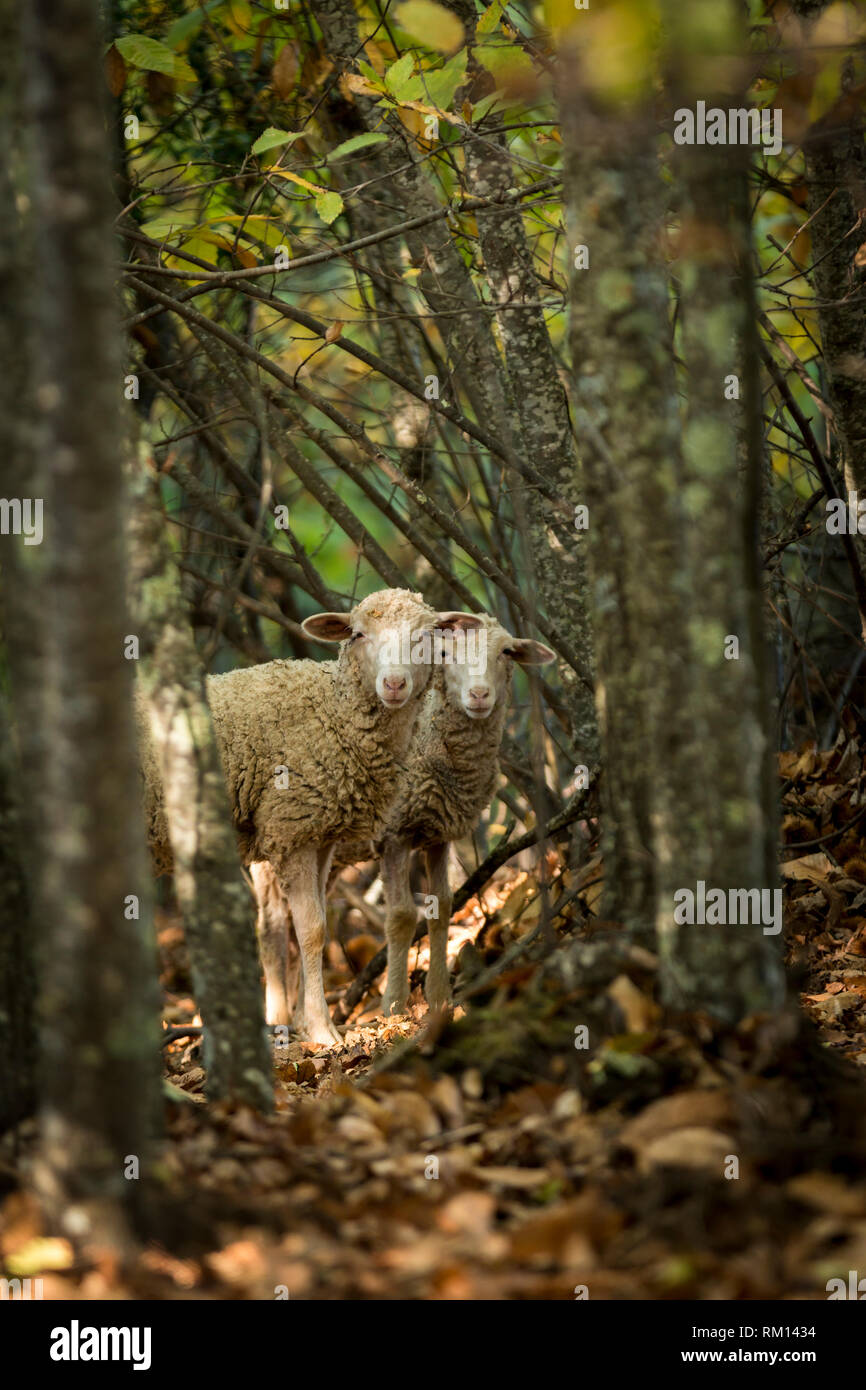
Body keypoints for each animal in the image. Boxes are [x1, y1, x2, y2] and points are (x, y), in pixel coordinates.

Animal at [140, 588, 482, 1046]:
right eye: (358, 634)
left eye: (426, 637)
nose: (394, 684)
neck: (333, 712)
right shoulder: (292, 828)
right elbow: (312, 928)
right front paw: (322, 1030)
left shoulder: (322, 835)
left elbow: (316, 920)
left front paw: (306, 1020)